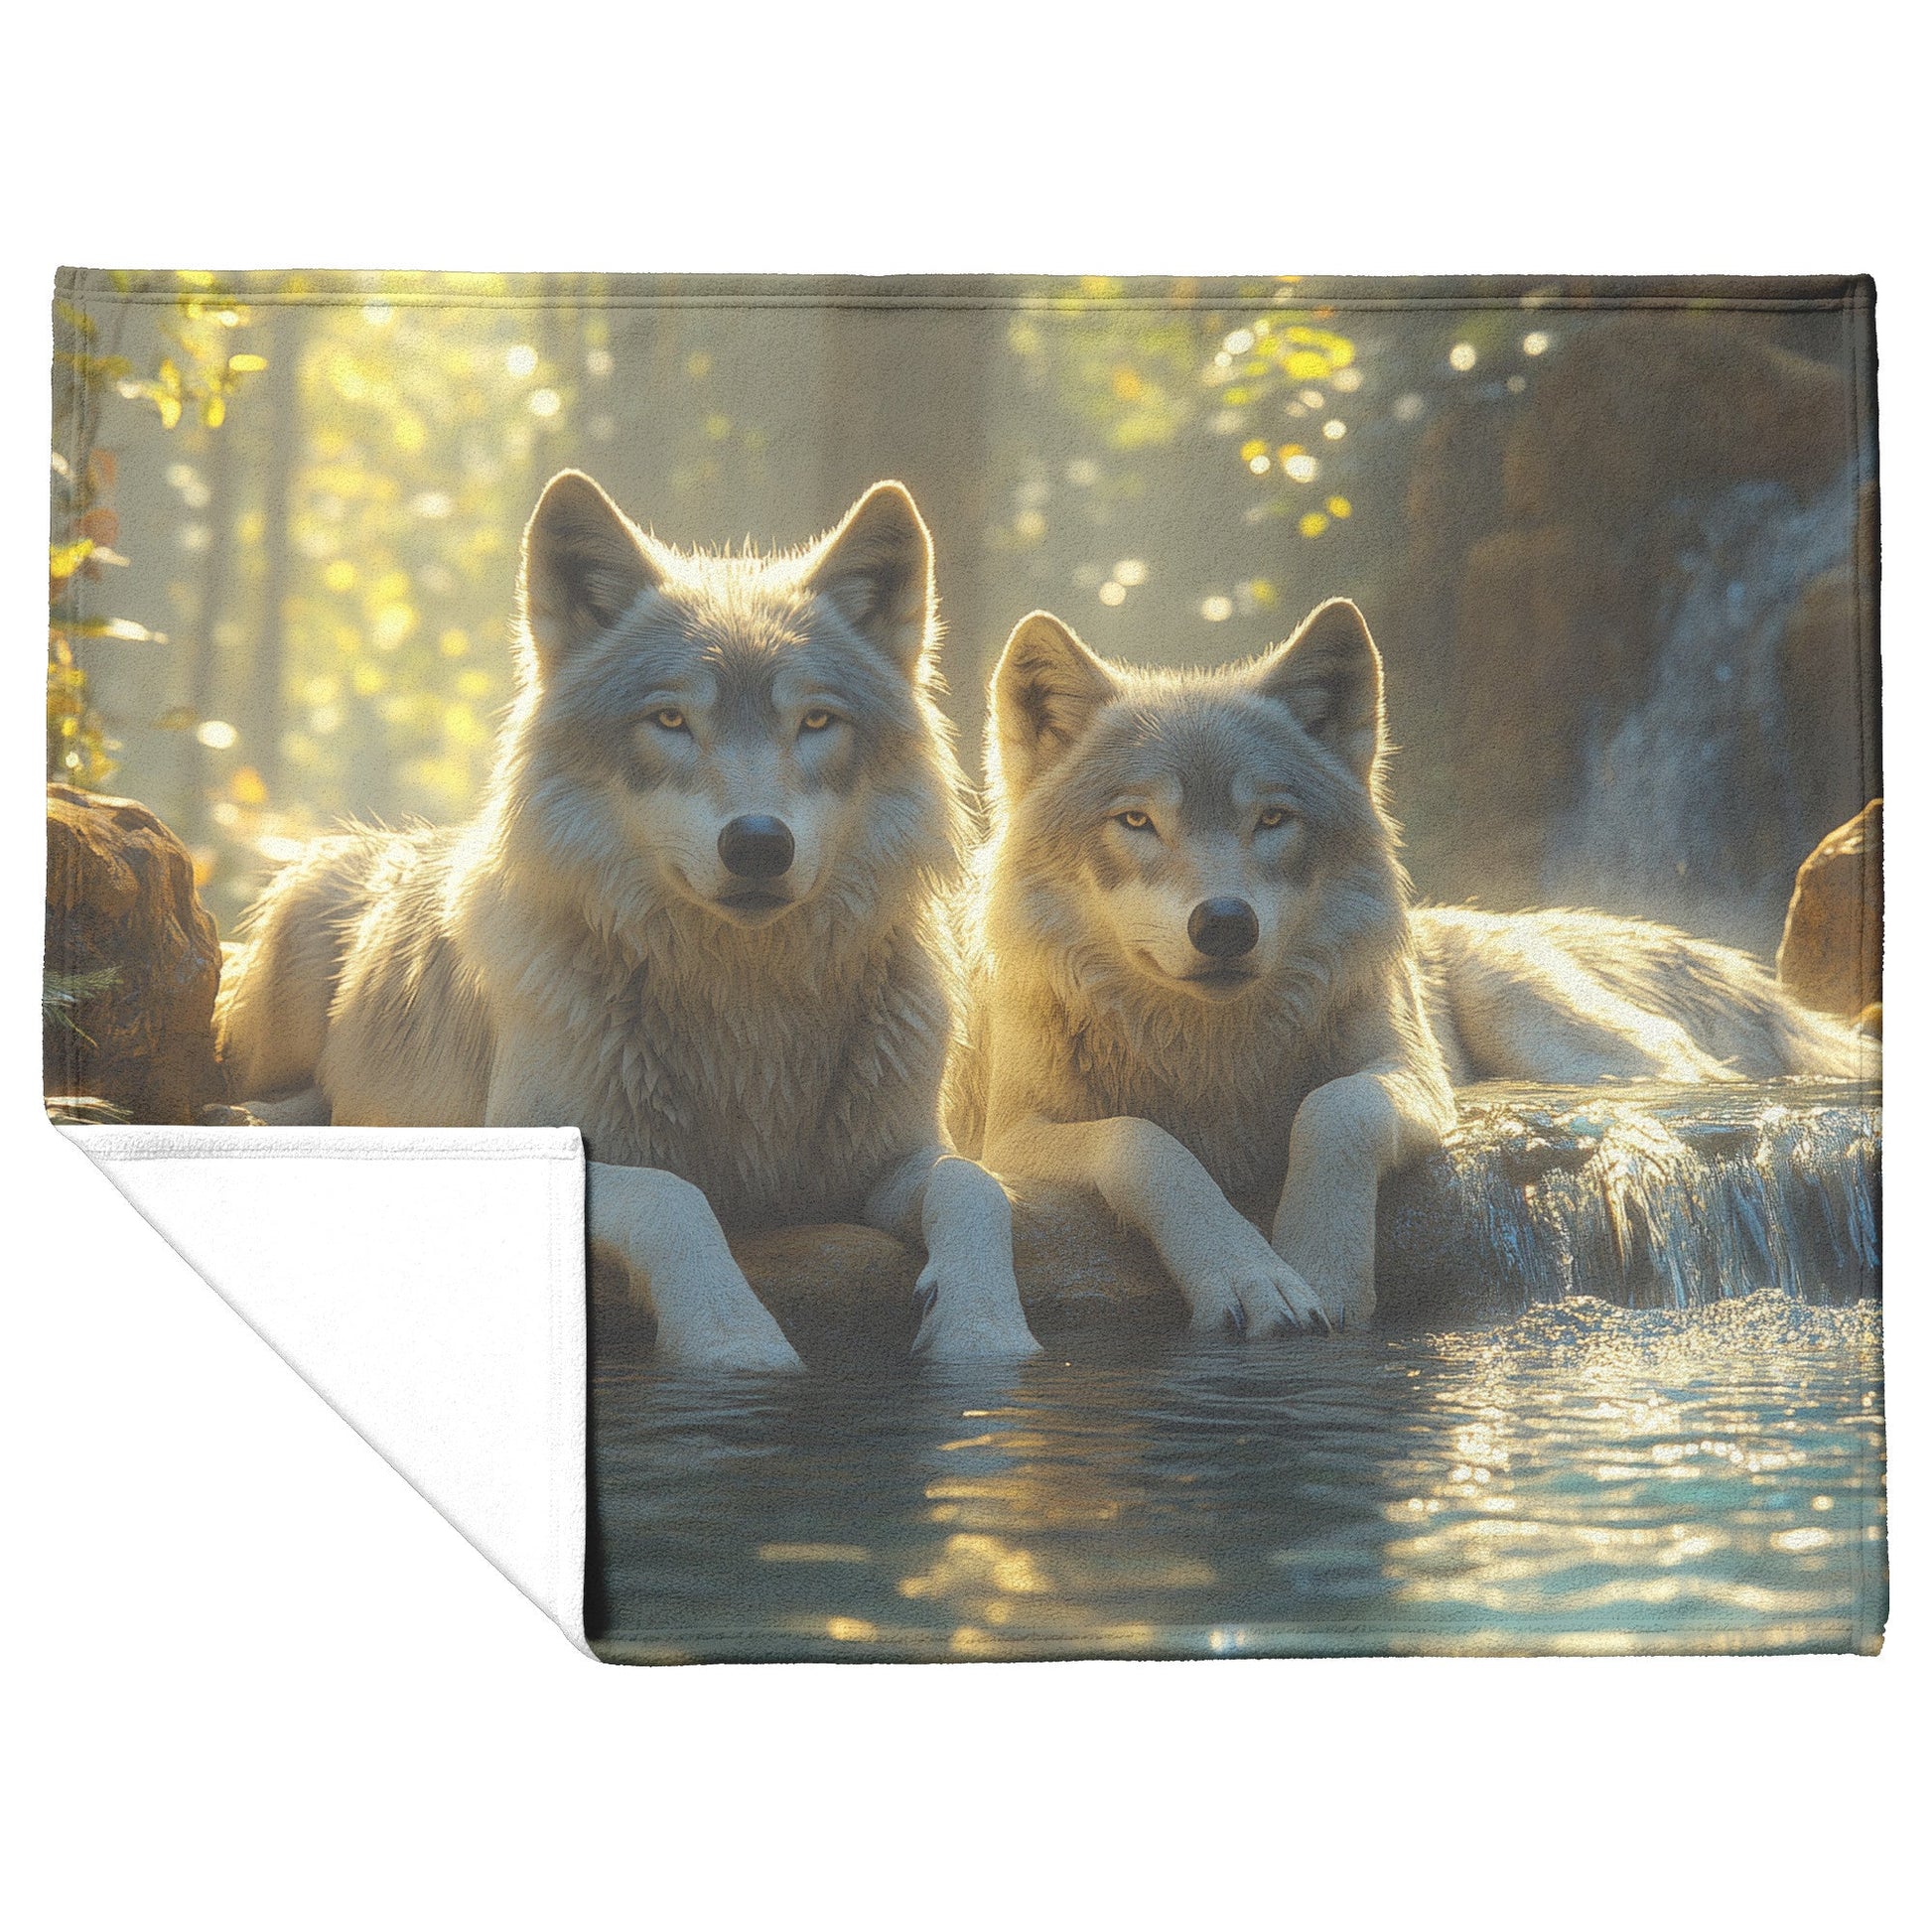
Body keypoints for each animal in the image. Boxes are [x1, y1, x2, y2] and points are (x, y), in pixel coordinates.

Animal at [217, 471, 1040, 1370]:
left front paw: (985, 1329)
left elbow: (976, 1186)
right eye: (671, 720)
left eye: (817, 721)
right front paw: (734, 1339)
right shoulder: (542, 1138)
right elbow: (671, 1198)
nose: (759, 844)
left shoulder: (898, 1156)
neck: (745, 1015)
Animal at [948, 598, 1864, 1333]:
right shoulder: (1011, 1137)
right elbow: (1148, 1144)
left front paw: (1319, 1269)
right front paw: (1249, 1278)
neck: (1214, 1053)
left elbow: (1333, 1110)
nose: (1225, 925)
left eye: (1271, 820)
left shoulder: (1408, 1075)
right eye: (1137, 821)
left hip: (1556, 1033)